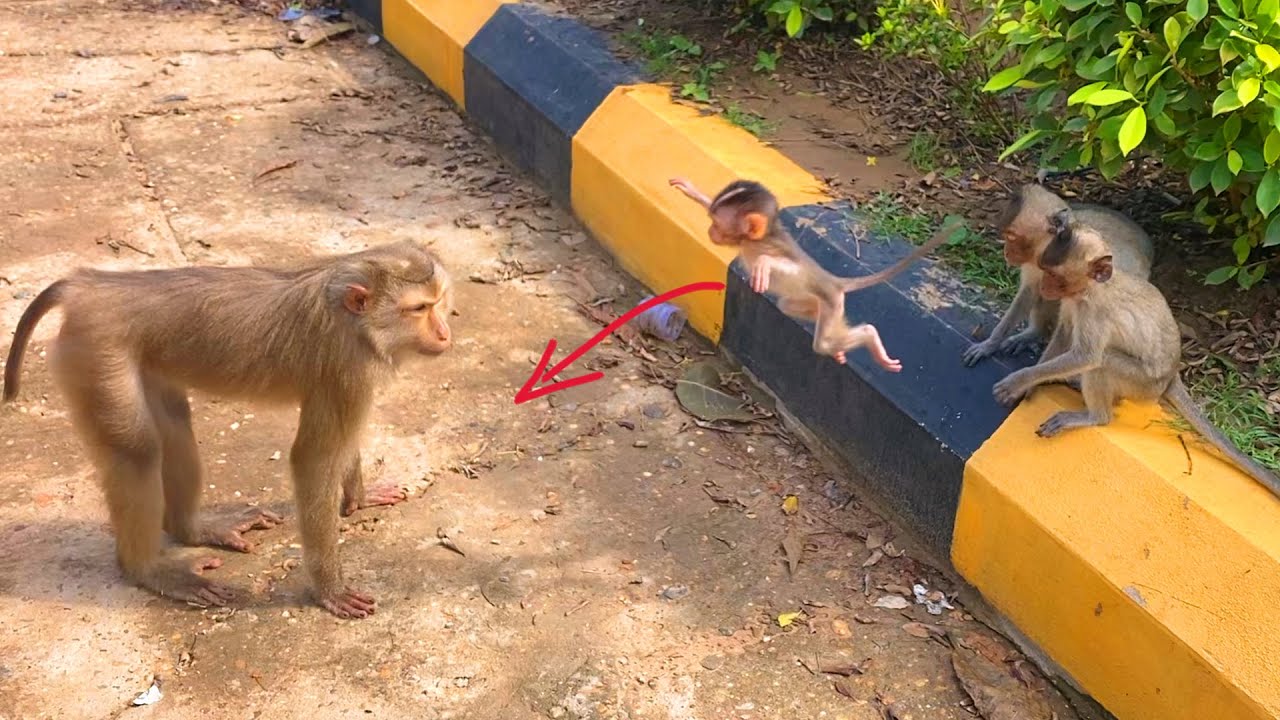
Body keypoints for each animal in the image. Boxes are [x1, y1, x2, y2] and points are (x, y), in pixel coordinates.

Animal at [2, 239, 455, 617]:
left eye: (438, 302)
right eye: (419, 309)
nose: (445, 332)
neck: (355, 320)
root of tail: (90, 285)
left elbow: (336, 451)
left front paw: (359, 499)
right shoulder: (347, 368)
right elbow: (314, 459)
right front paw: (329, 590)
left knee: (173, 424)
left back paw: (190, 529)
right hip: (98, 352)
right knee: (136, 449)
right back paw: (146, 568)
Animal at [669, 177, 954, 371]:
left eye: (717, 225)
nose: (710, 232)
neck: (758, 238)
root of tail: (834, 281)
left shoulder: (770, 246)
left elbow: (789, 266)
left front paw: (763, 265)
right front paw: (691, 189)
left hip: (832, 300)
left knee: (825, 342)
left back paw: (869, 336)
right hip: (815, 302)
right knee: (791, 307)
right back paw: (838, 346)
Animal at [962, 183, 1154, 367]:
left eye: (1012, 236)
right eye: (1006, 235)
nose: (1006, 252)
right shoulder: (1034, 263)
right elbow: (1030, 291)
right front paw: (990, 344)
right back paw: (1033, 333)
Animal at [990, 214, 1280, 500]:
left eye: (1053, 275)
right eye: (1044, 269)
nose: (1043, 285)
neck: (1091, 289)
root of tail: (1171, 375)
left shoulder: (1096, 313)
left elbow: (1087, 356)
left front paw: (1019, 381)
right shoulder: (1072, 303)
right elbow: (1065, 334)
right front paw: (1031, 384)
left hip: (1143, 385)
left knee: (1104, 363)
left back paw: (1096, 417)